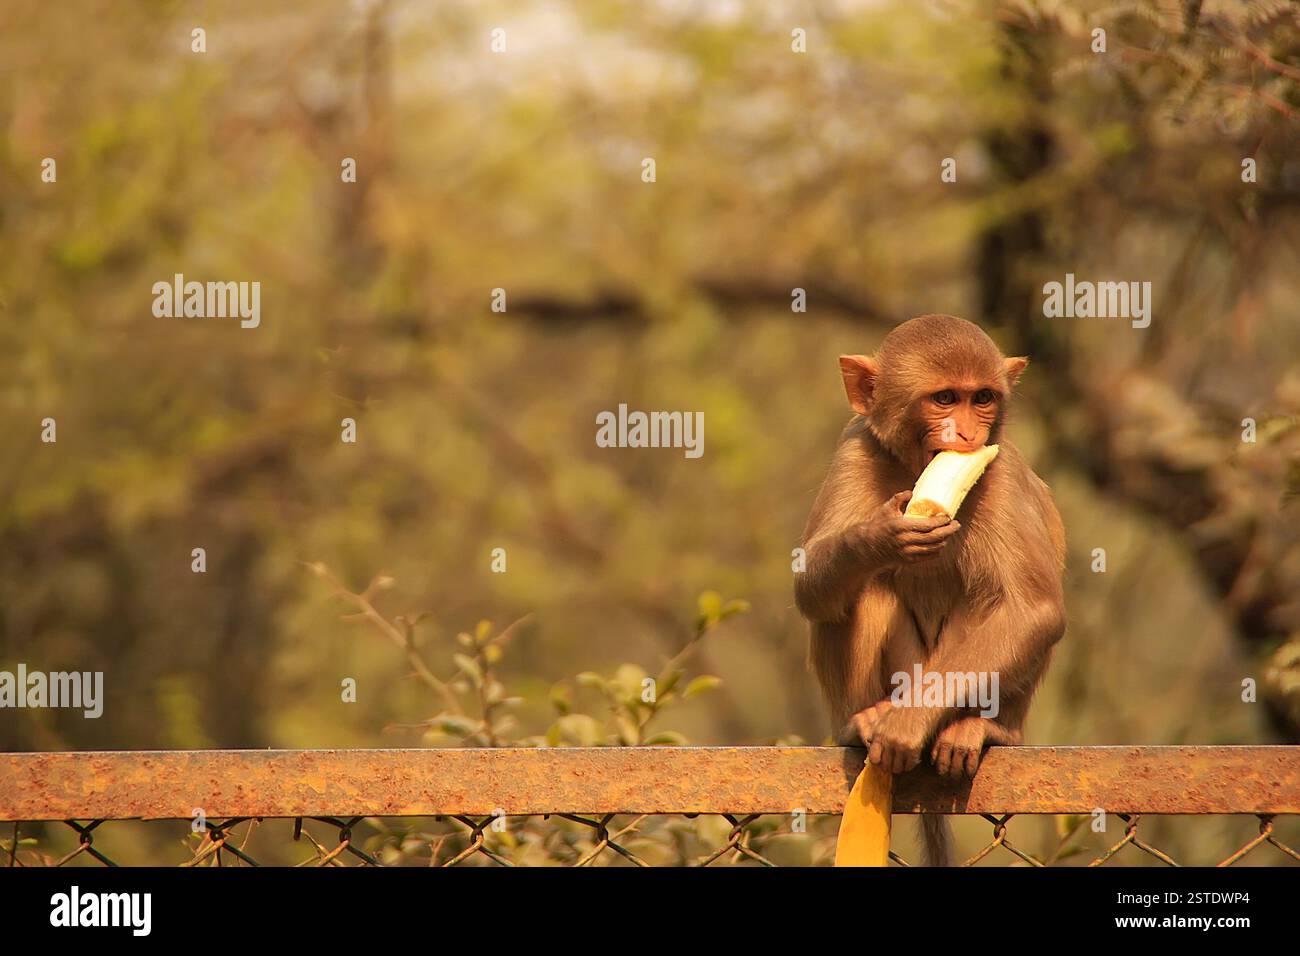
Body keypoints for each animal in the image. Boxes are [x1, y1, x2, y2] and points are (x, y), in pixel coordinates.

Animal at [794, 314, 1066, 865]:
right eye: (944, 398)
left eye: (982, 398)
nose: (966, 433)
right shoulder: (854, 447)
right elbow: (809, 584)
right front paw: (879, 537)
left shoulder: (999, 471)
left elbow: (1035, 609)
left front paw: (909, 725)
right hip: (905, 673)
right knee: (862, 593)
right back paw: (861, 721)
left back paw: (980, 729)